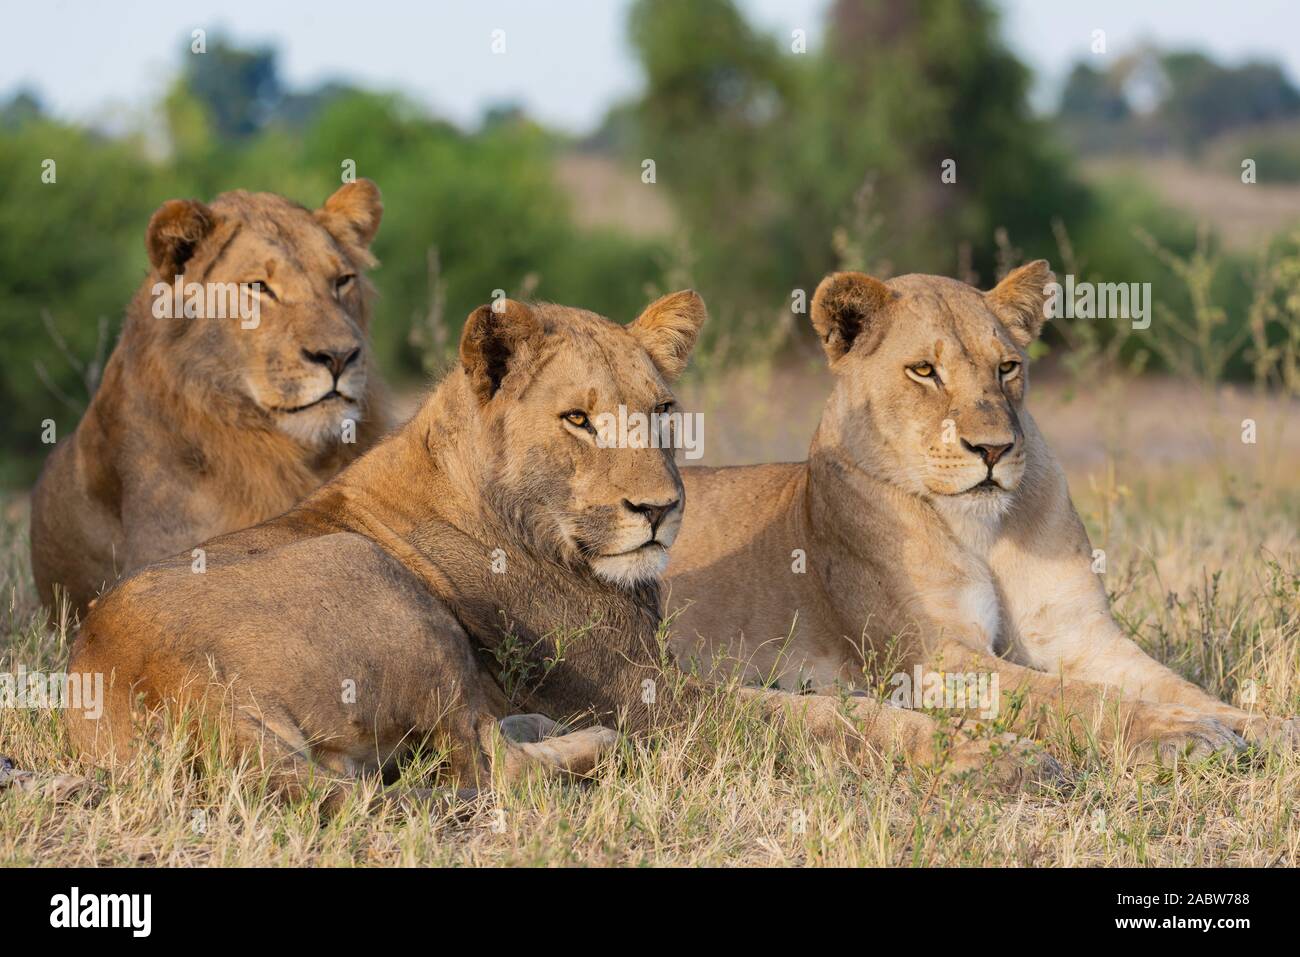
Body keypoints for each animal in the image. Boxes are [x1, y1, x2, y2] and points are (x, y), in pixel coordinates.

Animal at [64, 291, 1058, 812]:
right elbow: (824, 718)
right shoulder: (655, 697)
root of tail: (170, 677)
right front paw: (998, 756)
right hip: (376, 579)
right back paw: (584, 746)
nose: (660, 509)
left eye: (662, 410)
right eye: (578, 418)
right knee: (486, 767)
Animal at [666, 262, 1298, 761]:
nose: (993, 449)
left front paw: (1265, 726)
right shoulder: (933, 660)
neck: (982, 530)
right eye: (924, 371)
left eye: (1007, 368)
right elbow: (1071, 697)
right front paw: (1182, 733)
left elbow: (1175, 686)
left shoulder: (1079, 635)